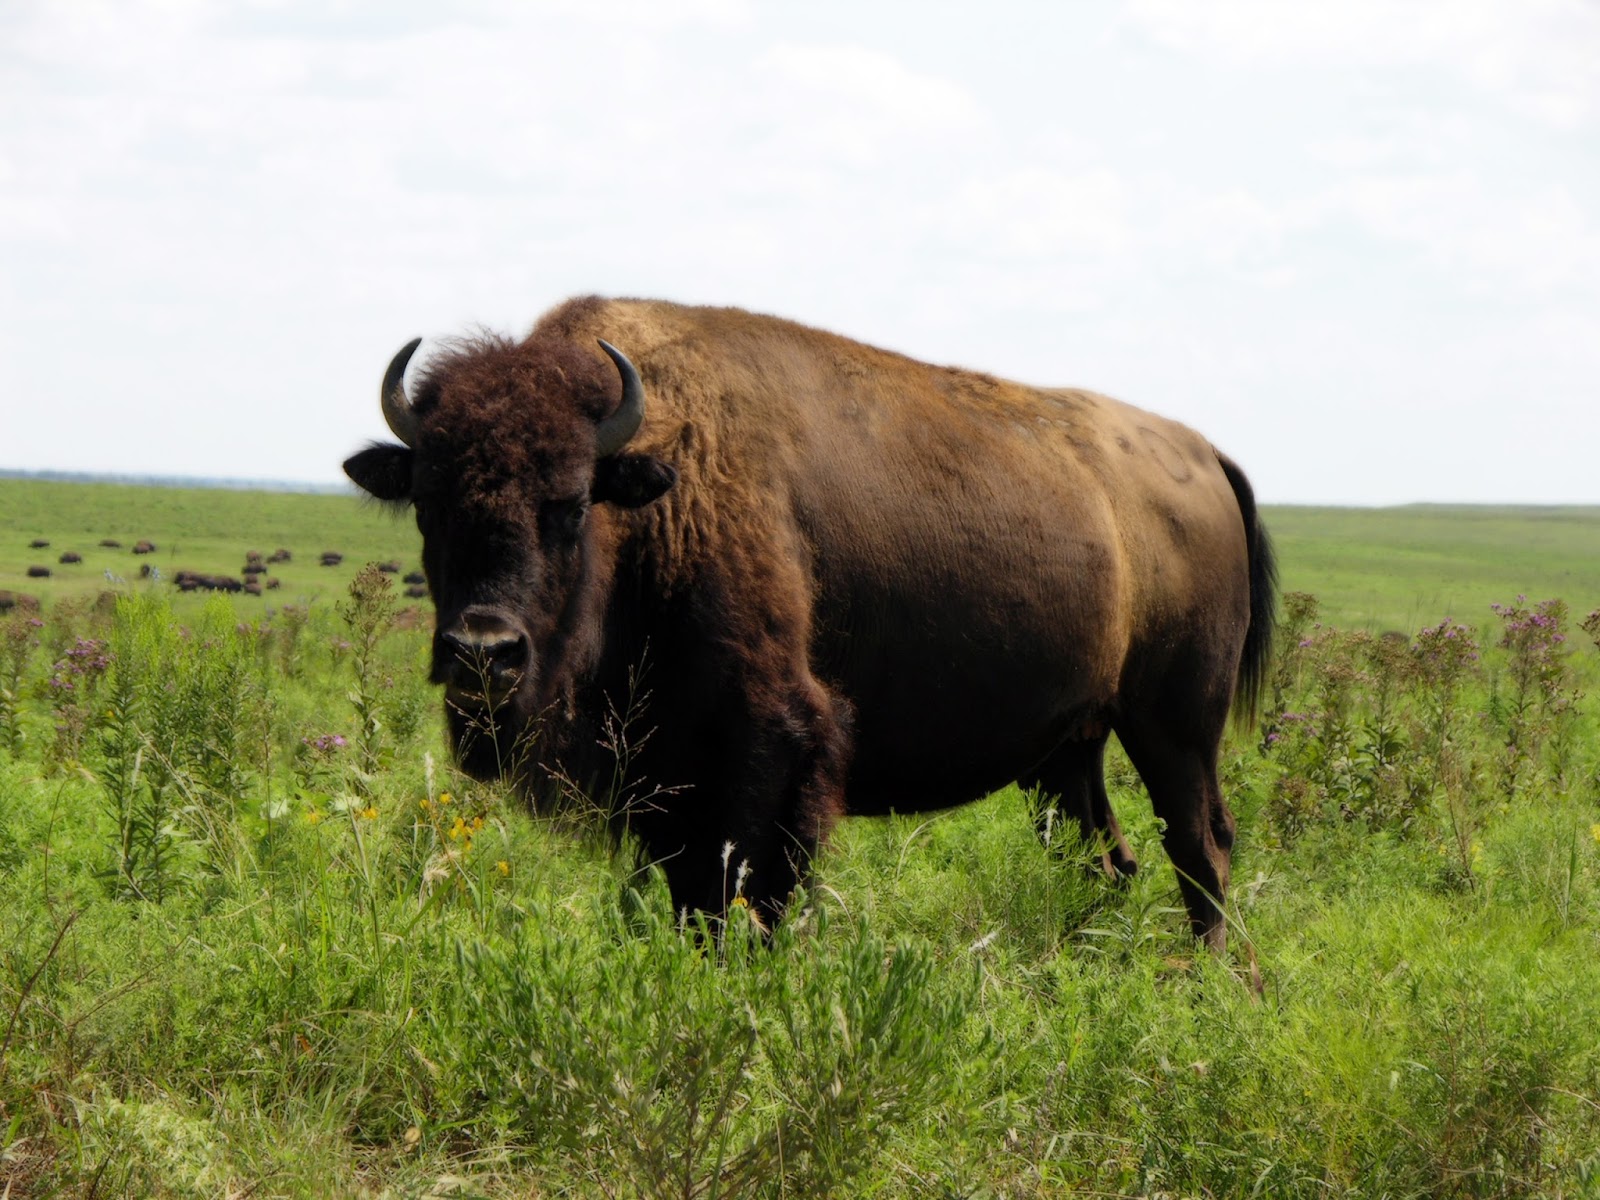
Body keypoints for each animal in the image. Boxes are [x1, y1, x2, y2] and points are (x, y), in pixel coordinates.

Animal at [345, 298, 1275, 950]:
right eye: (426, 503)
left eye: (572, 505)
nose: (483, 652)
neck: (659, 491)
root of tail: (1203, 452)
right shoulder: (667, 782)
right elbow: (692, 896)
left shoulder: (770, 748)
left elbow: (741, 897)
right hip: (1066, 751)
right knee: (1107, 860)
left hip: (1175, 726)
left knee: (1201, 848)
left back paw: (1212, 986)